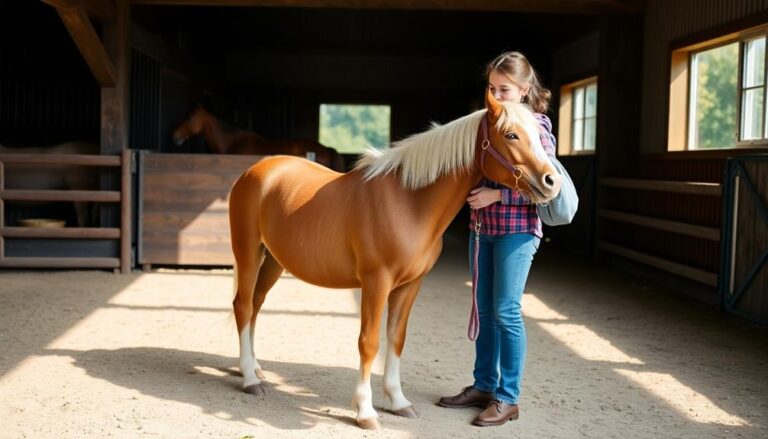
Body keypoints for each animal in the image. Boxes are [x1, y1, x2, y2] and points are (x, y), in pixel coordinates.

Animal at [227, 91, 562, 430]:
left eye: (539, 135)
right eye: (511, 135)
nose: (552, 182)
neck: (408, 203)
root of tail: (254, 171)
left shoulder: (410, 285)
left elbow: (396, 338)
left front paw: (399, 402)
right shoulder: (376, 282)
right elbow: (369, 342)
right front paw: (365, 411)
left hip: (273, 261)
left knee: (255, 304)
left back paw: (254, 368)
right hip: (248, 252)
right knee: (243, 306)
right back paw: (250, 380)